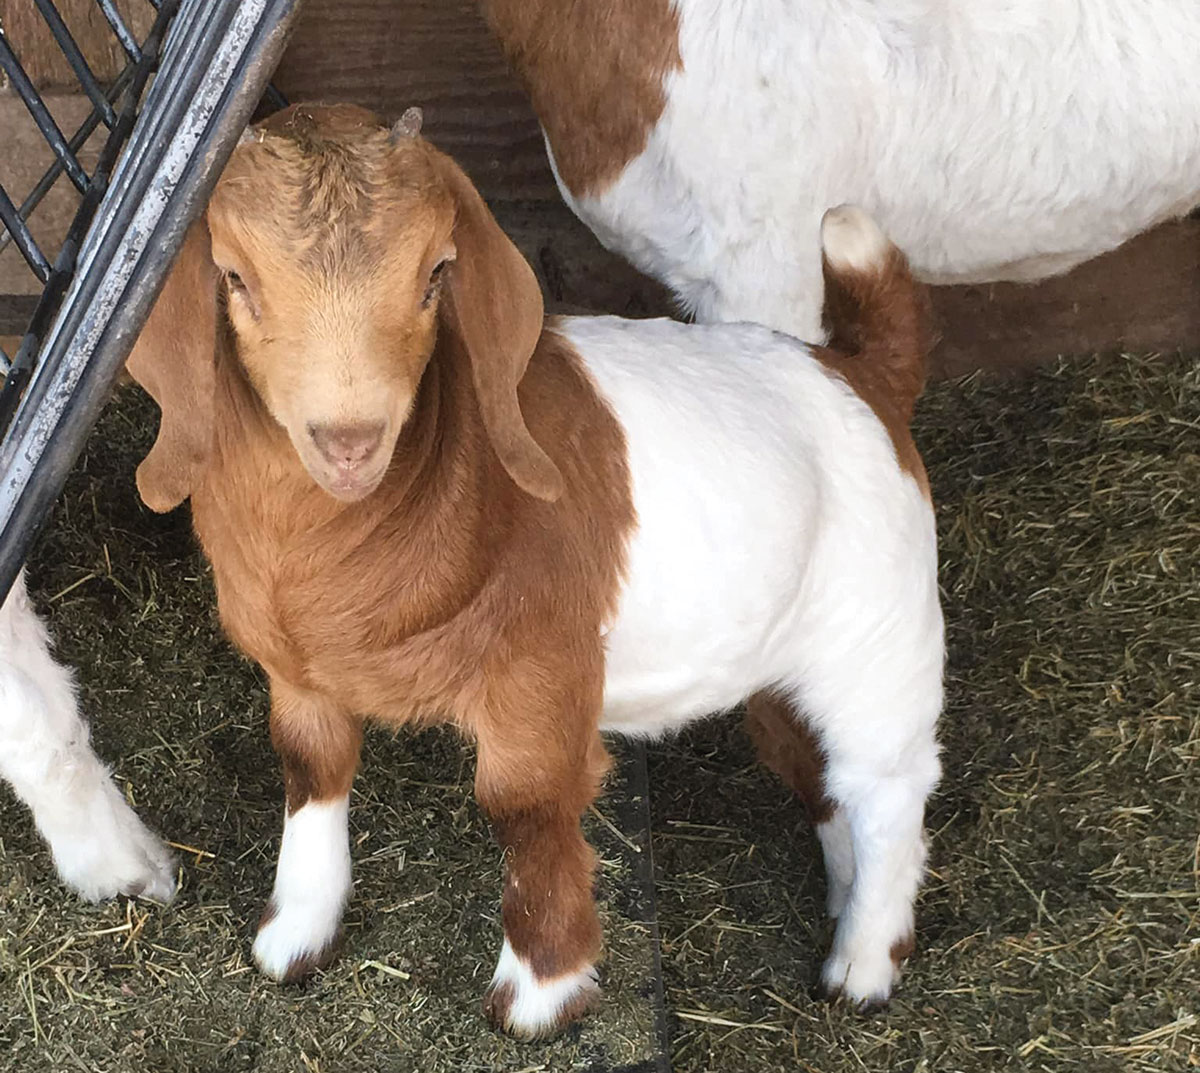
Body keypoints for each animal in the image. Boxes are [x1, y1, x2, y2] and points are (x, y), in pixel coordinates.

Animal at [125, 103, 943, 1039]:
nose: (350, 439)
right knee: (825, 777)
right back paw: (844, 904)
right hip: (784, 669)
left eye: (436, 273)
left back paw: (863, 964)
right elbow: (310, 764)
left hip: (882, 640)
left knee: (889, 788)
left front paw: (539, 992)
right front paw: (293, 933)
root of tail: (863, 372)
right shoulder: (297, 671)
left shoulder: (542, 671)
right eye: (233, 276)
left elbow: (525, 805)